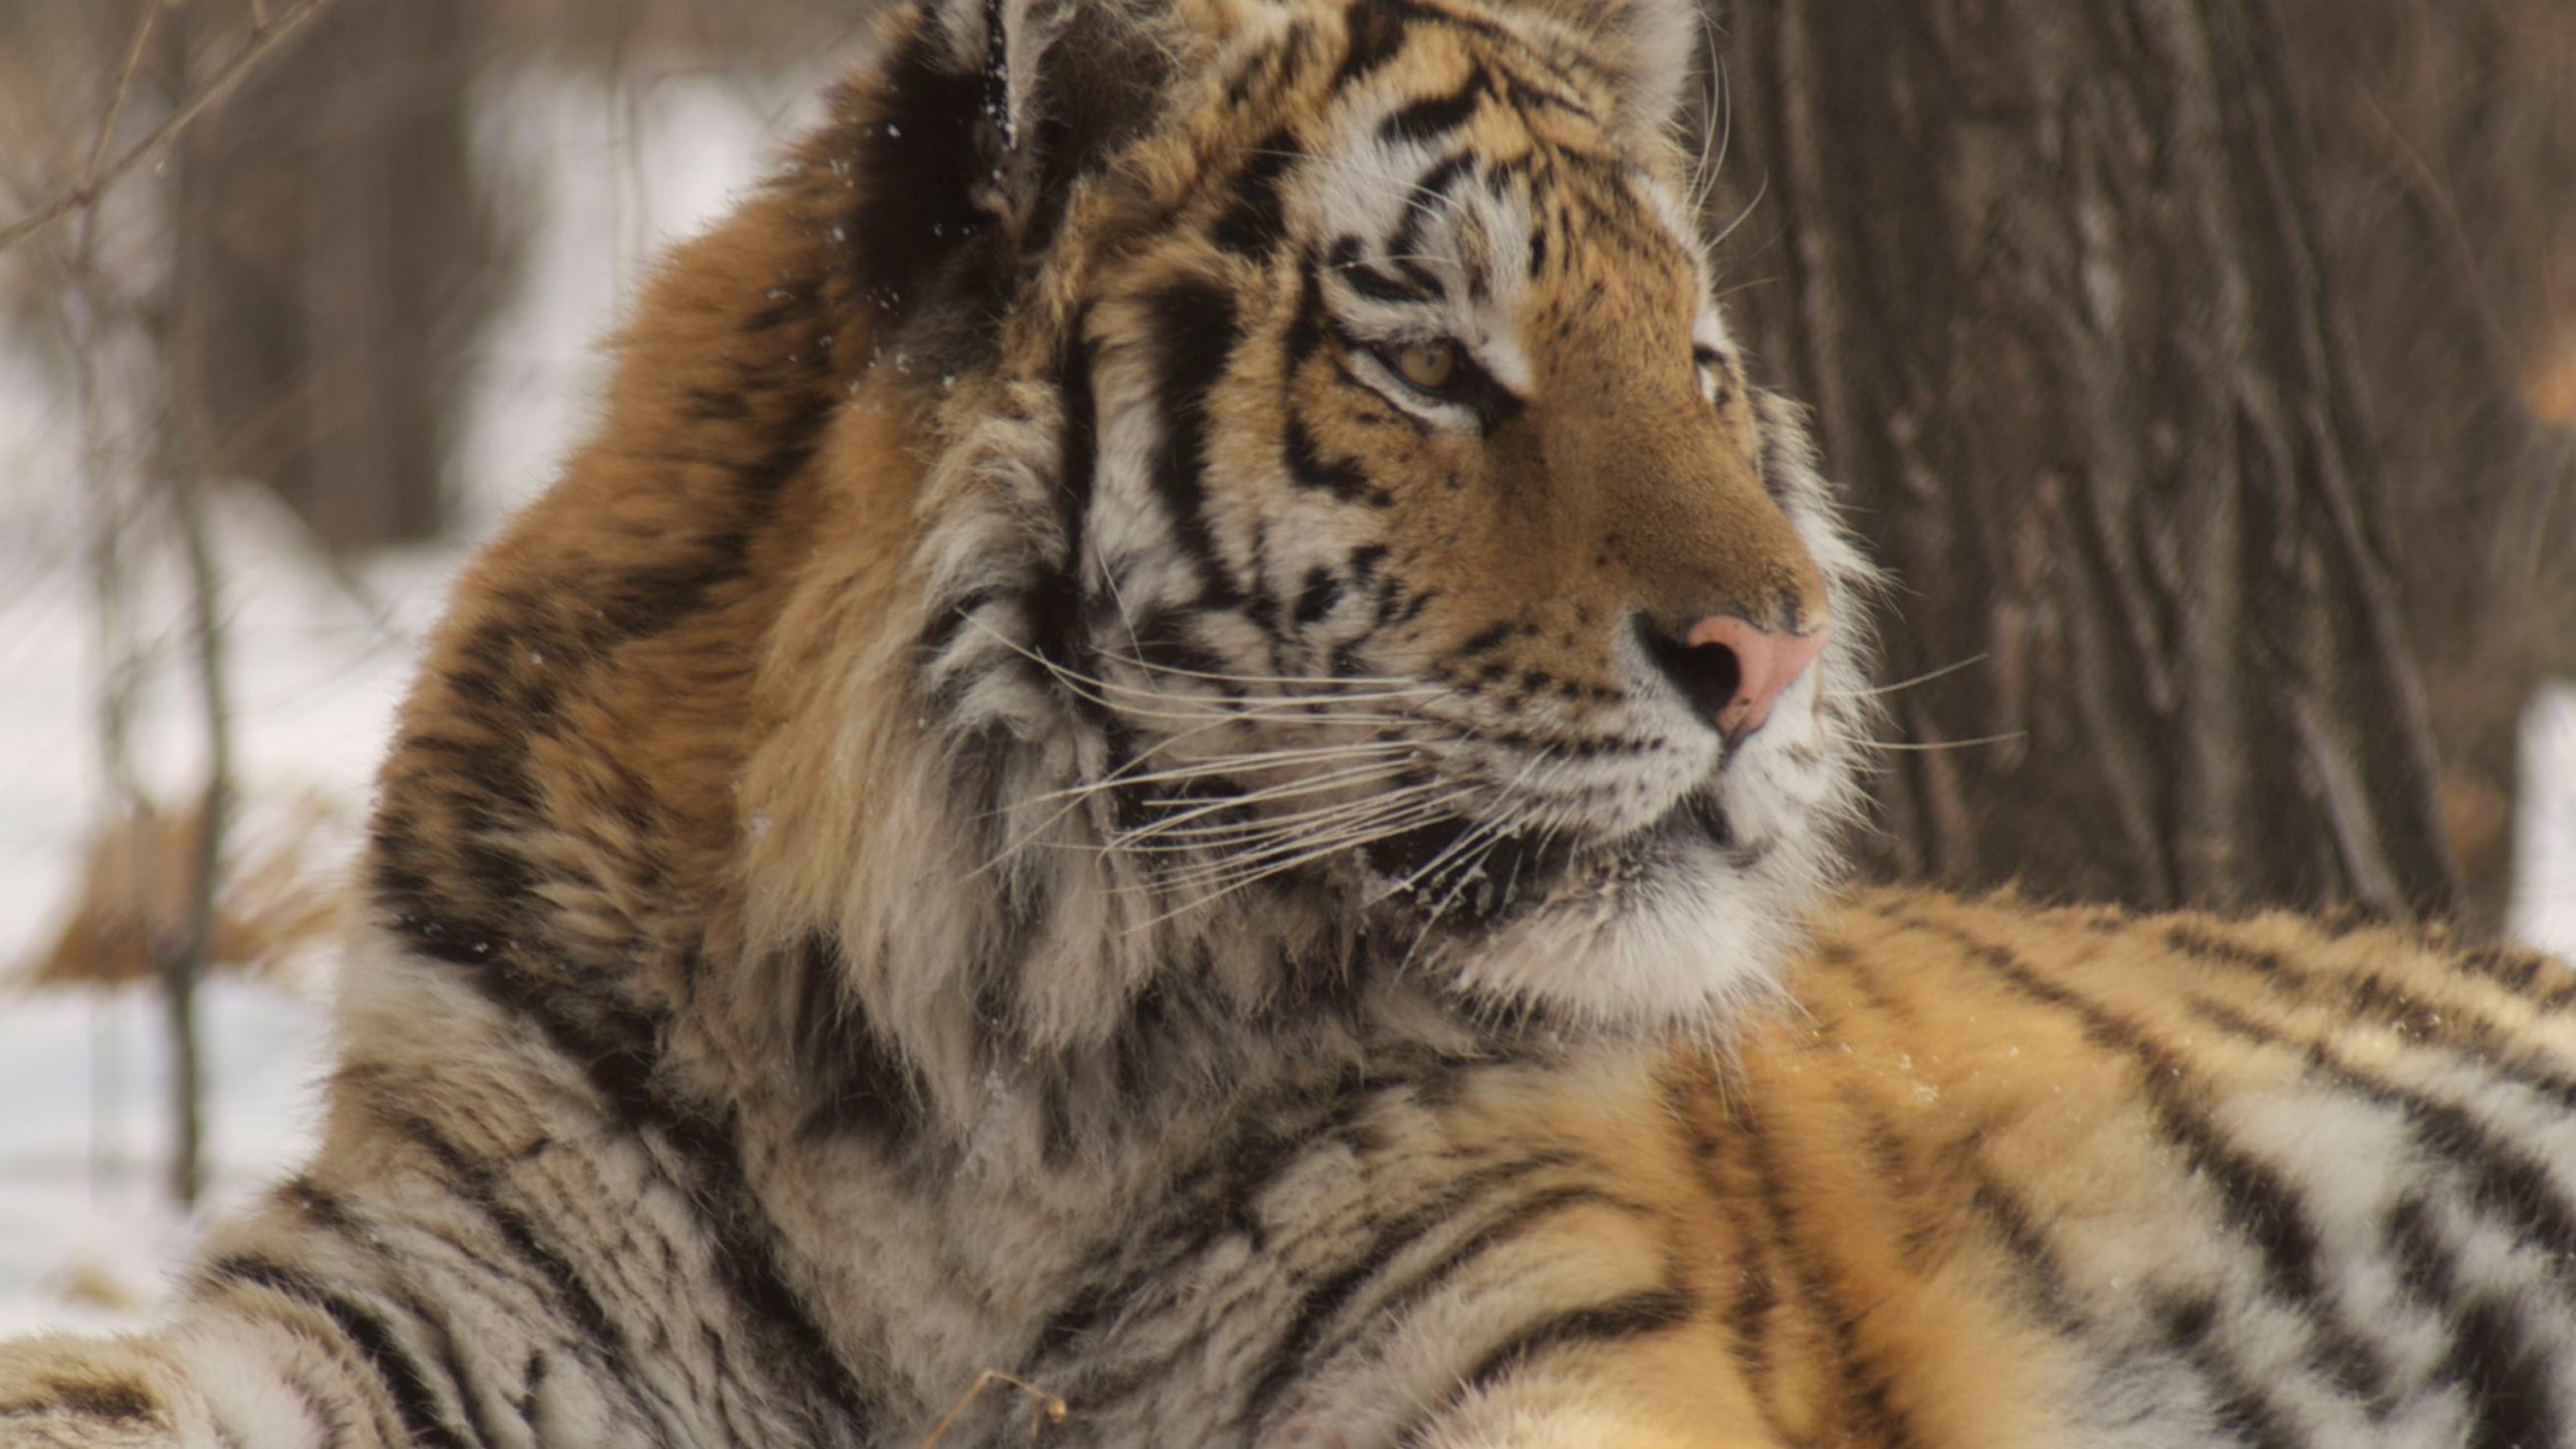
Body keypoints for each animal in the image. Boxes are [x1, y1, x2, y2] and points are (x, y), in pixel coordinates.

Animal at [7, 0, 2575, 1446]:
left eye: (1700, 363)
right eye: (1430, 359)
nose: (1772, 655)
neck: (980, 1076)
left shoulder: (1549, 1337)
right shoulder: (421, 1289)